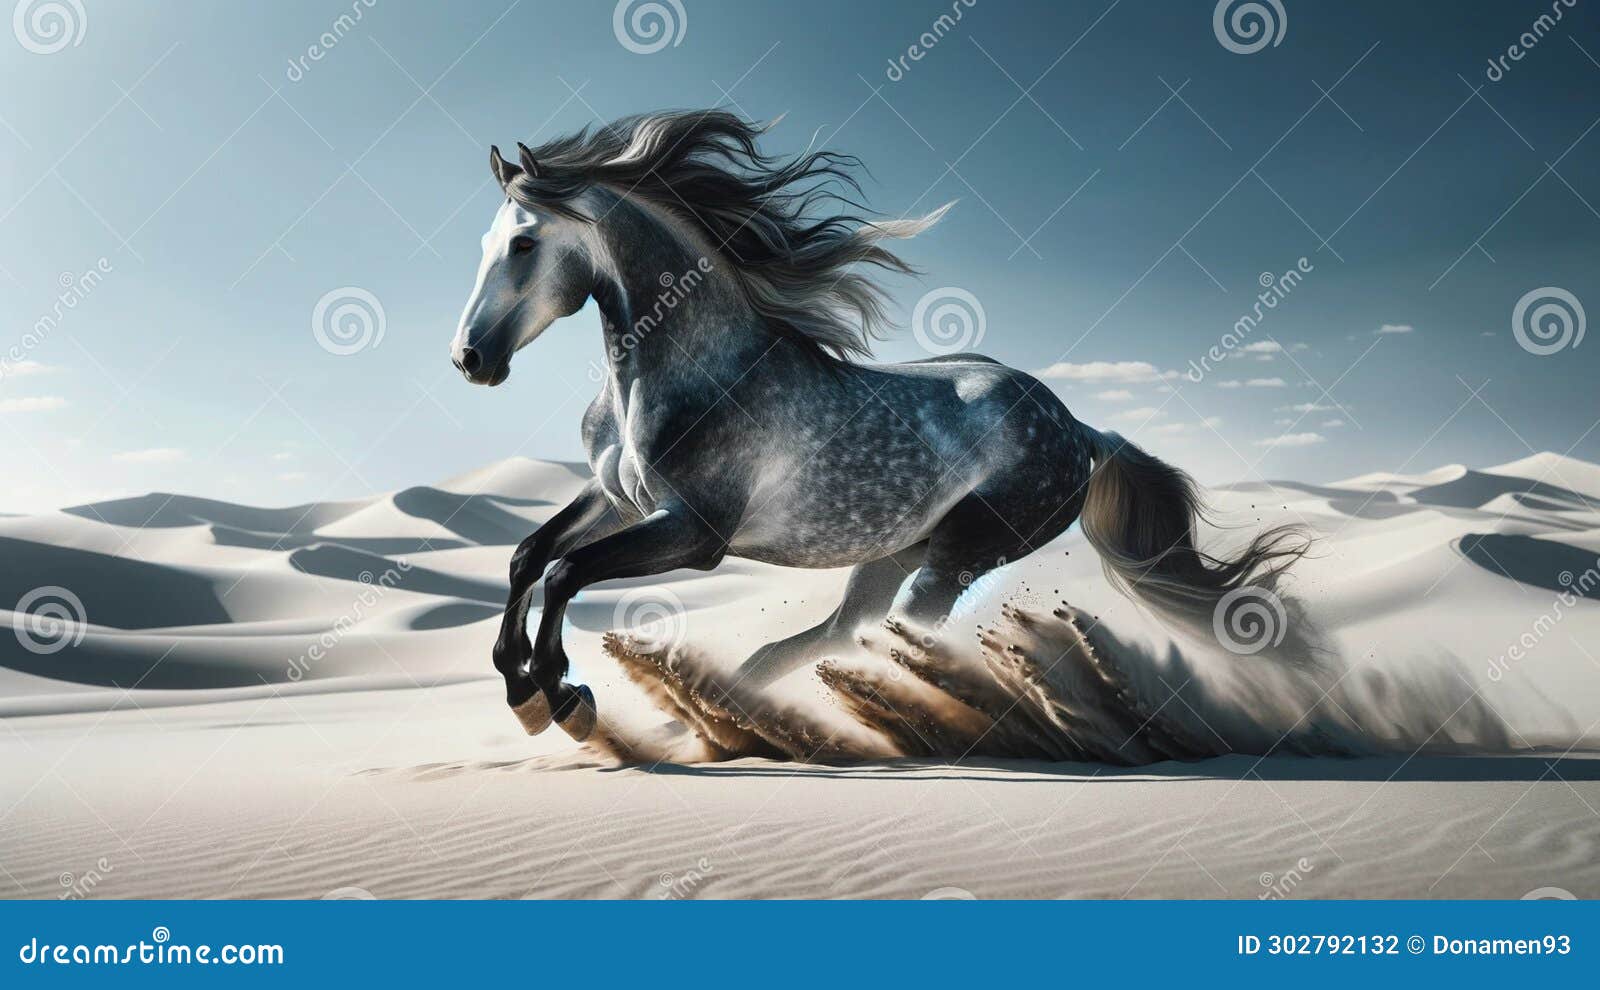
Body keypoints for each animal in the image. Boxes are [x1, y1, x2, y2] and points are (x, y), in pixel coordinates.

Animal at [449, 110, 1306, 743]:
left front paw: (559, 697)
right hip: (892, 555)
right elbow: (529, 557)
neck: (690, 370)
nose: (470, 358)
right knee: (831, 639)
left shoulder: (695, 531)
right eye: (486, 242)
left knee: (893, 638)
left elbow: (566, 572)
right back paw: (710, 722)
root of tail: (1085, 433)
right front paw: (524, 688)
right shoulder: (614, 498)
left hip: (955, 558)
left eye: (524, 243)